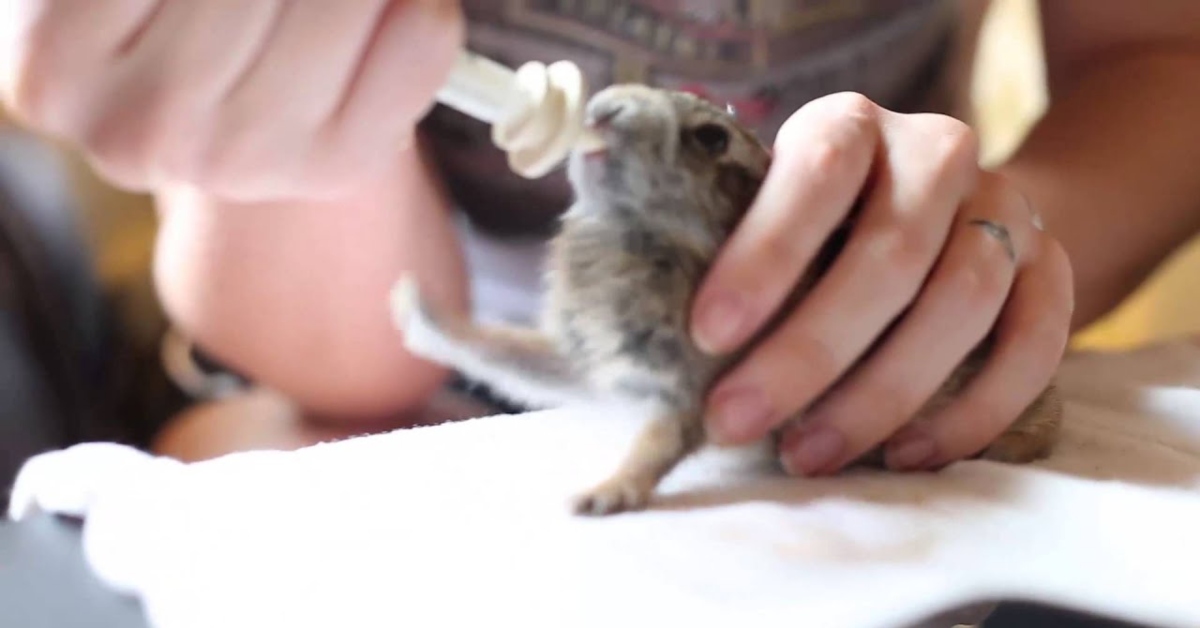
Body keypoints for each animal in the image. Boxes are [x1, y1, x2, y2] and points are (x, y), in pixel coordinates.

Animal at [389, 84, 1062, 516]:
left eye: (712, 138)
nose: (603, 109)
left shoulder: (691, 385)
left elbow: (657, 446)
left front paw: (604, 495)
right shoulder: (589, 361)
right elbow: (507, 353)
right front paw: (414, 306)